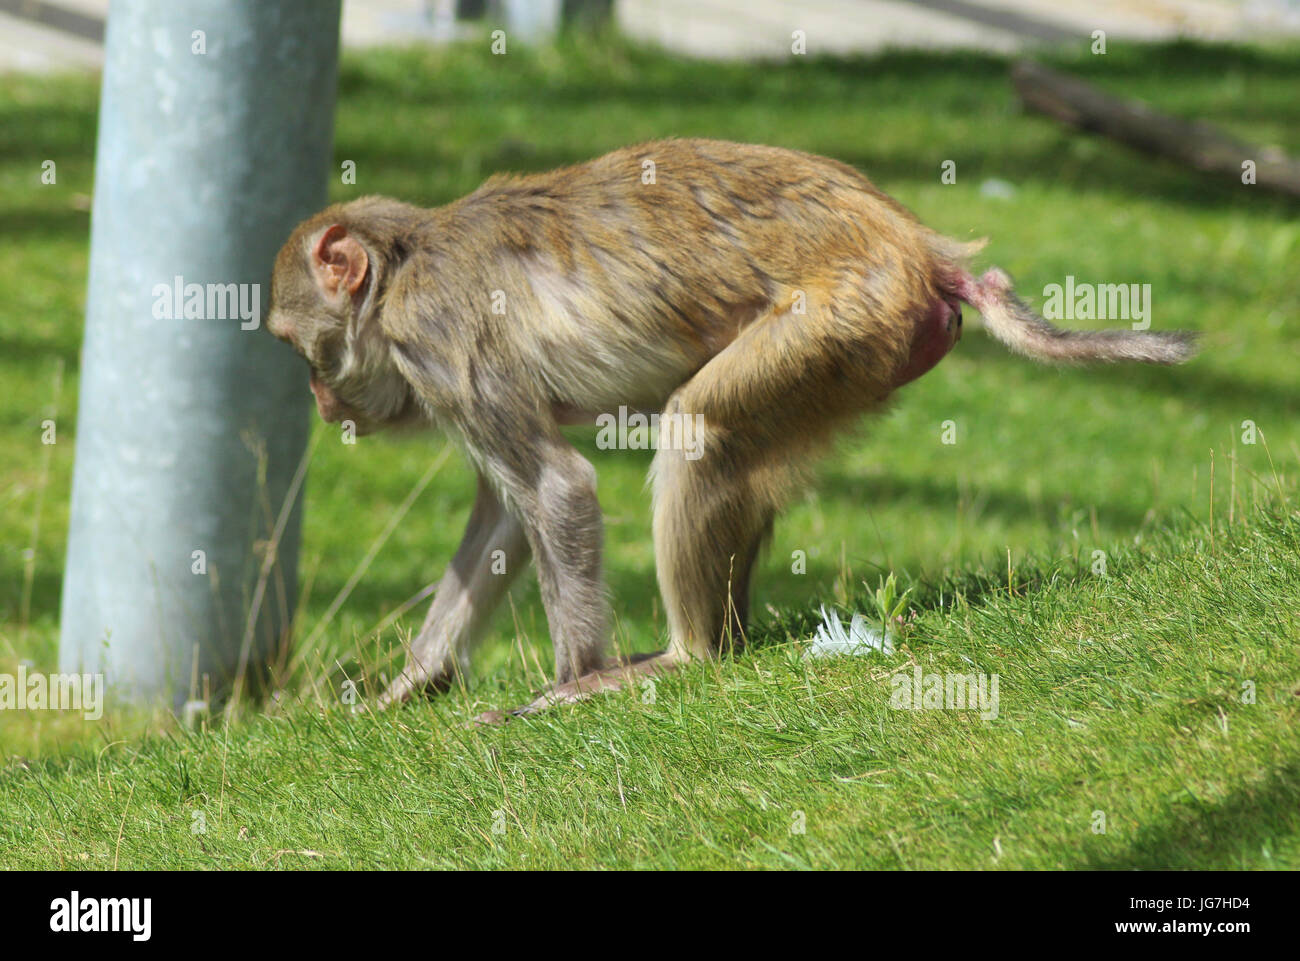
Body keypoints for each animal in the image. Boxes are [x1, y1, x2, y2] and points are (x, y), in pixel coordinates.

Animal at [266, 138, 1196, 719]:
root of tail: (912, 239)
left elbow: (555, 489)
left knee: (698, 427)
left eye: (294, 347)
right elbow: (504, 516)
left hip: (838, 321)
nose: (317, 401)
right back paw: (731, 634)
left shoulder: (434, 345)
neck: (401, 266)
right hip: (850, 361)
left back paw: (687, 655)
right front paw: (413, 681)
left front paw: (574, 681)